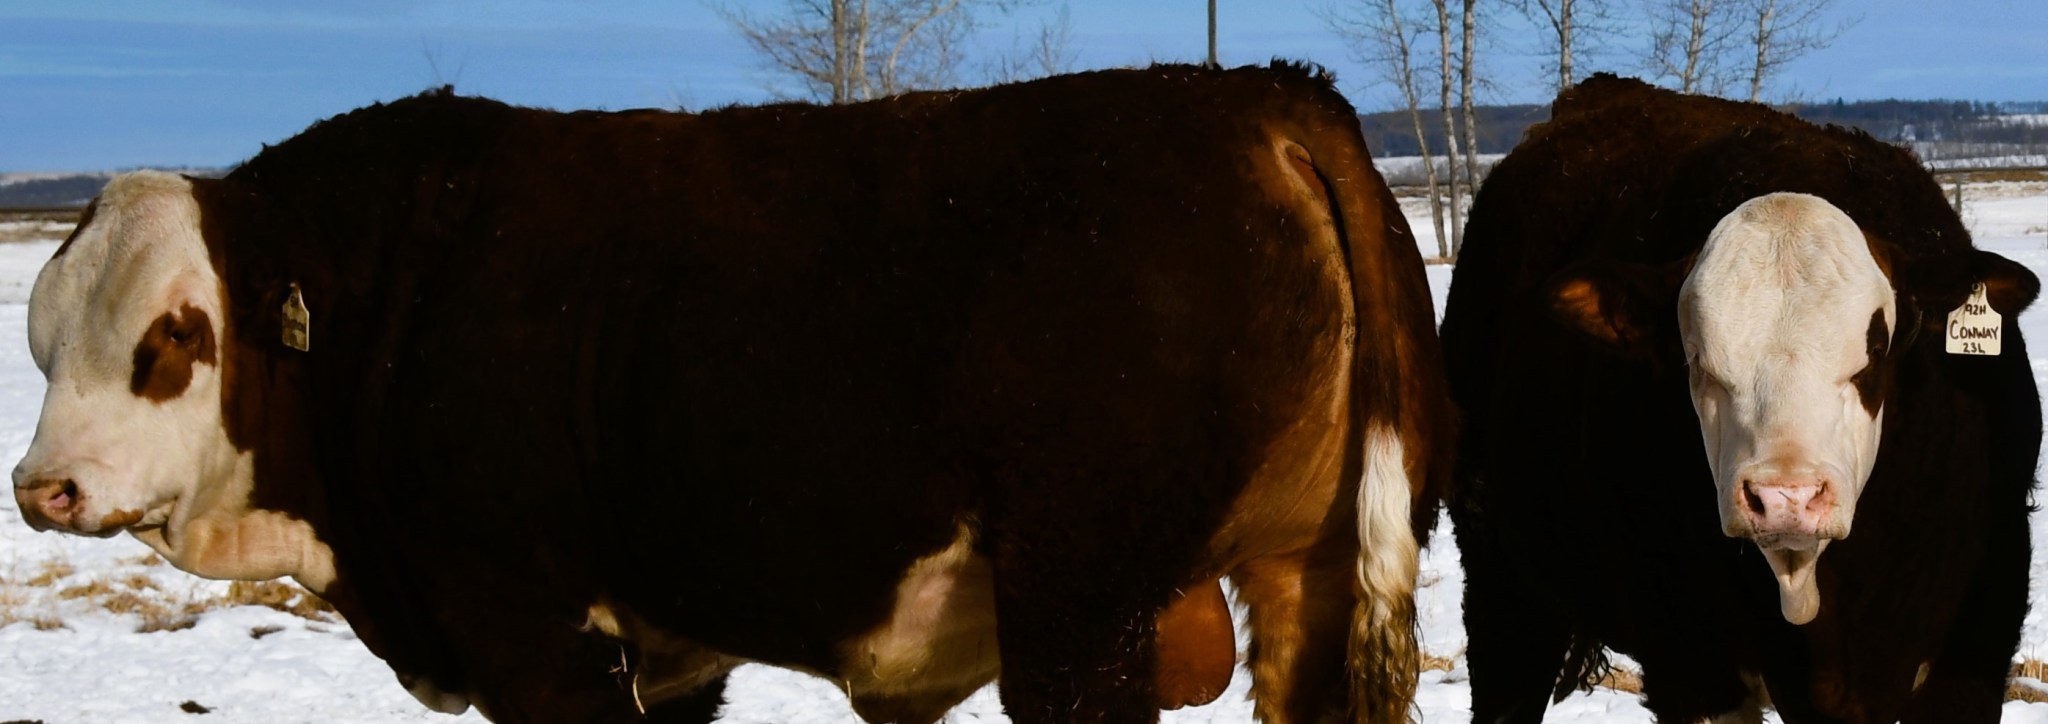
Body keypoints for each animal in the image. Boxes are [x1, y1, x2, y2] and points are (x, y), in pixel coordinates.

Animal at [9, 62, 1454, 723]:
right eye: (41, 340)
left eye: (175, 337)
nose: (42, 486)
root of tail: (1258, 92)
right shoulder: (669, 646)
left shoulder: (531, 631)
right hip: (1307, 580)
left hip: (1081, 612)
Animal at [1439, 73, 2041, 723]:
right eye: (1696, 358)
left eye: (1877, 348)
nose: (1785, 497)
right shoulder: (1689, 662)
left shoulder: (1974, 645)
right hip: (1502, 581)